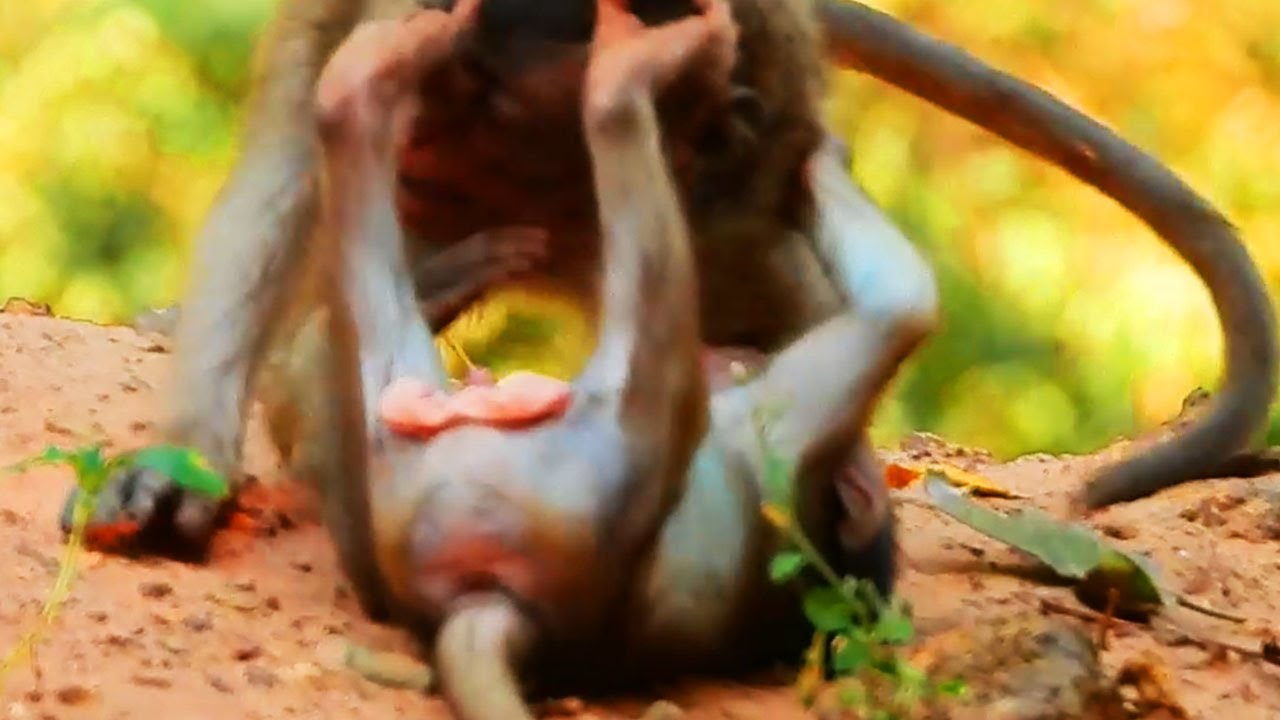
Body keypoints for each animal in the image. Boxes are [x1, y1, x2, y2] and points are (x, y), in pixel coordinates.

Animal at [307, 3, 900, 716]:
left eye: (744, 363)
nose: (729, 355)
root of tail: (490, 603)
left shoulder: (774, 412)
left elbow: (892, 309)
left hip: (585, 470)